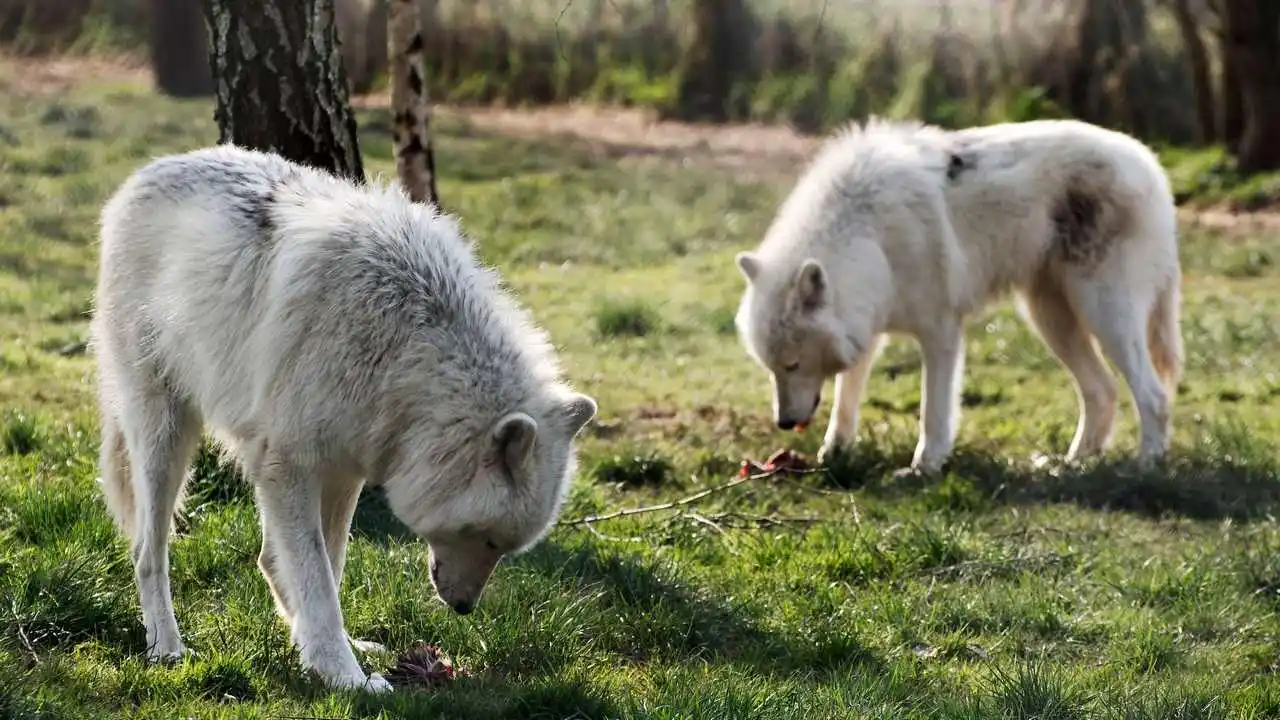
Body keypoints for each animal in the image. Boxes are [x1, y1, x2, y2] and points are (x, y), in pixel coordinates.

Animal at [91, 145, 597, 692]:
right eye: (487, 538)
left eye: (505, 549)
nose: (463, 608)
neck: (406, 347)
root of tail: (145, 172)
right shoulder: (287, 464)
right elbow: (316, 580)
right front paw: (345, 676)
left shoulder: (345, 466)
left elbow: (328, 571)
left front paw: (332, 653)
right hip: (166, 438)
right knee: (147, 551)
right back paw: (166, 647)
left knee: (266, 558)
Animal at [734, 118, 1182, 474]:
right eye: (771, 367)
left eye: (793, 364)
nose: (784, 423)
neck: (870, 233)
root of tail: (1151, 164)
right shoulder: (868, 327)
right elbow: (847, 398)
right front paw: (835, 452)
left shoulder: (941, 332)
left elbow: (933, 412)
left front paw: (924, 467)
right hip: (1051, 320)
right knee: (1103, 392)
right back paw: (1071, 464)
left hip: (1104, 315)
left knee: (1154, 395)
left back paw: (1146, 466)